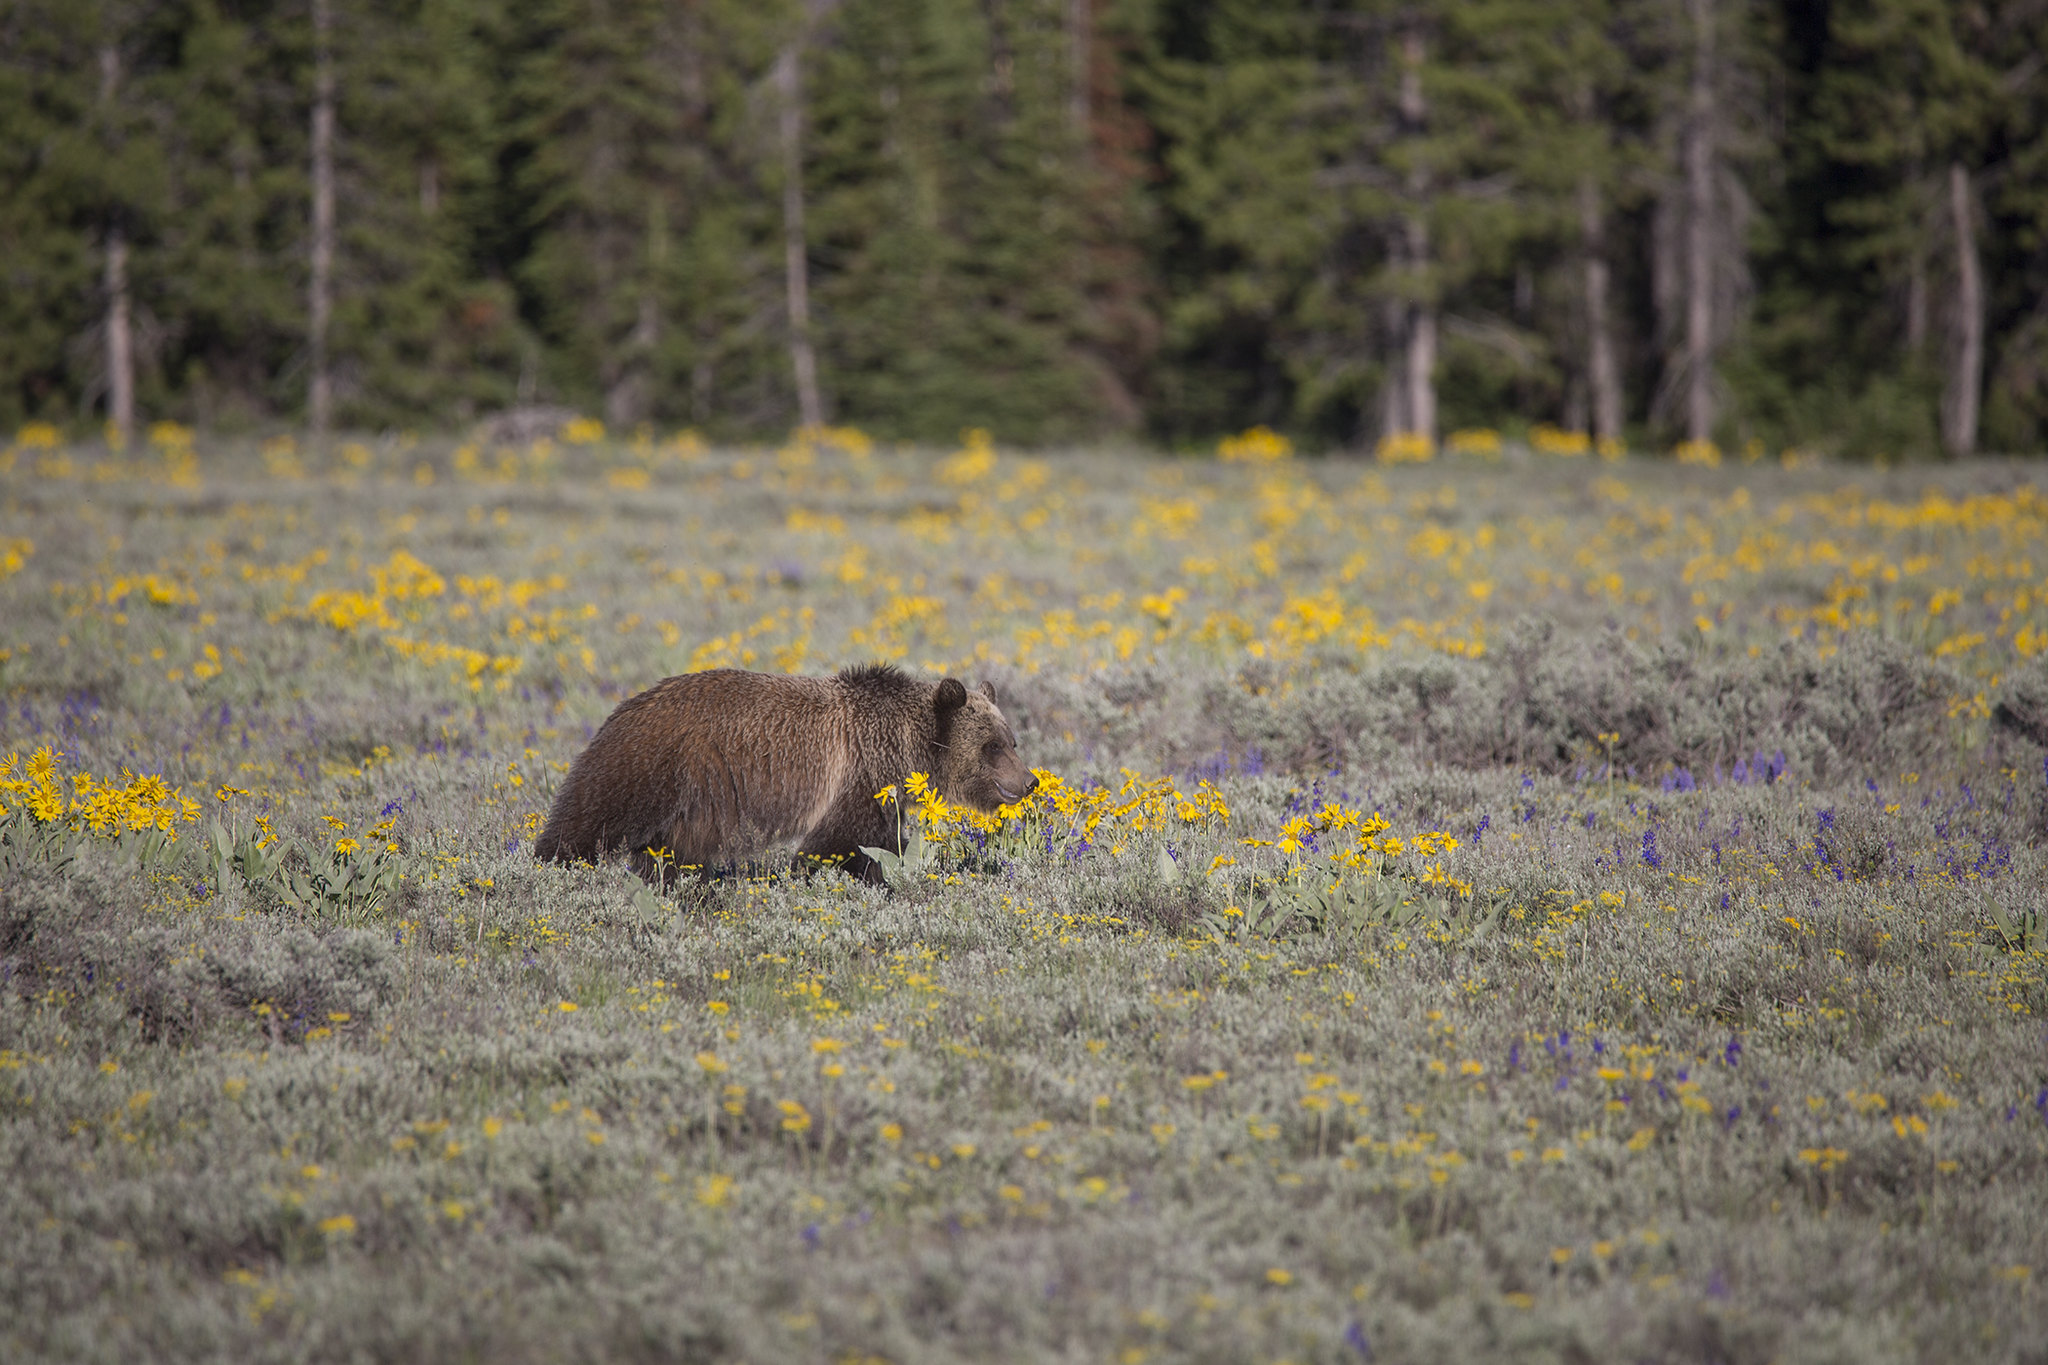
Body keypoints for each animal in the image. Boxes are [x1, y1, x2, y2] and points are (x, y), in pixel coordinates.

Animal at [533, 663, 1037, 884]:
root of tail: (625, 705)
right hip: (649, 765)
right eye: (992, 746)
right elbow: (837, 843)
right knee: (591, 816)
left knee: (669, 849)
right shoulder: (856, 774)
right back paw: (551, 861)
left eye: (1011, 740)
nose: (1029, 781)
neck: (902, 745)